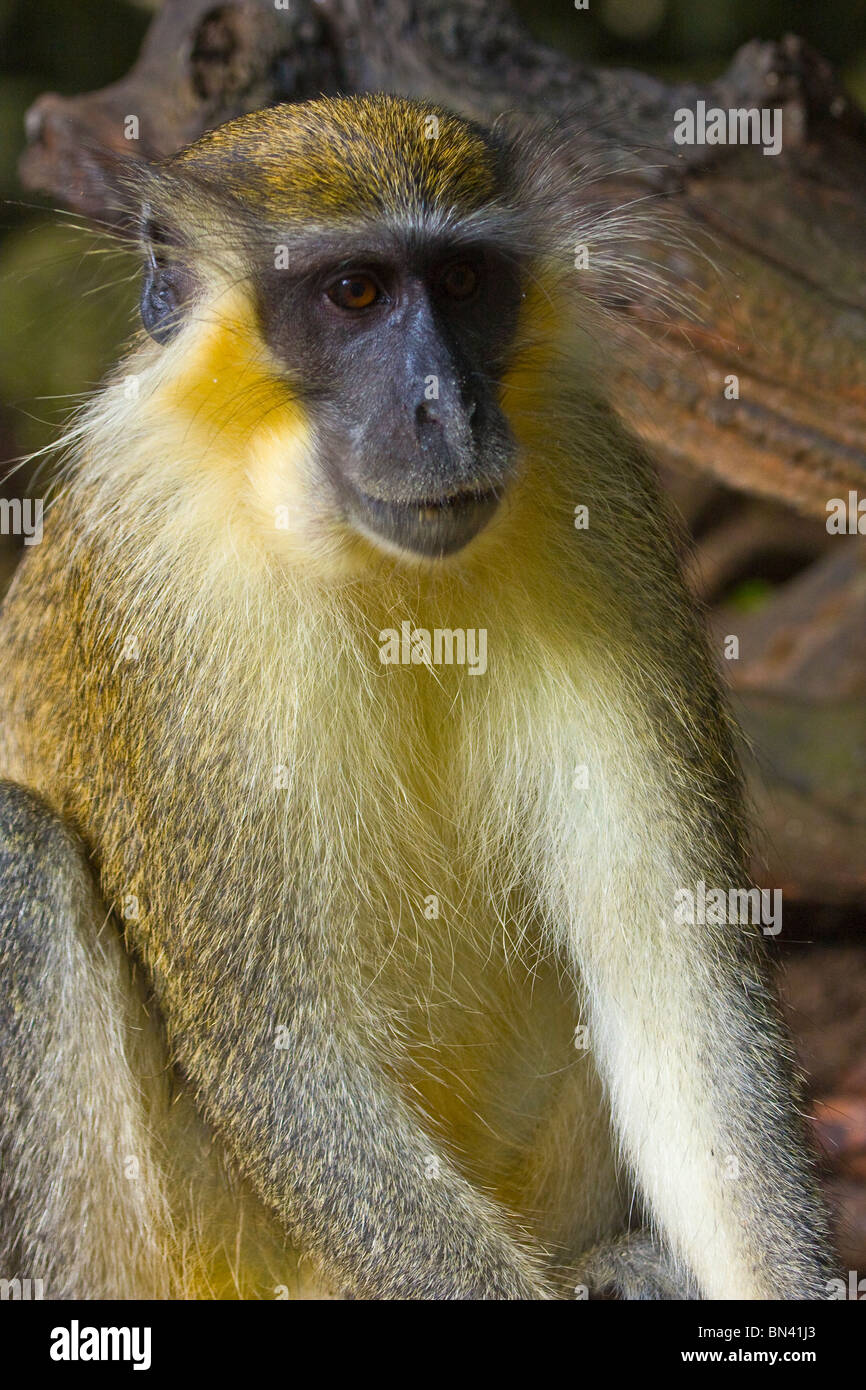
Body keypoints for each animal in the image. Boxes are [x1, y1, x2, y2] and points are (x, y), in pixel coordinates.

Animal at [0, 93, 832, 1301]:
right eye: (355, 292)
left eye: (464, 281)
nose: (448, 409)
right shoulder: (157, 580)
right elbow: (280, 1054)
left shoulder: (598, 500)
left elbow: (673, 984)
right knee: (18, 857)